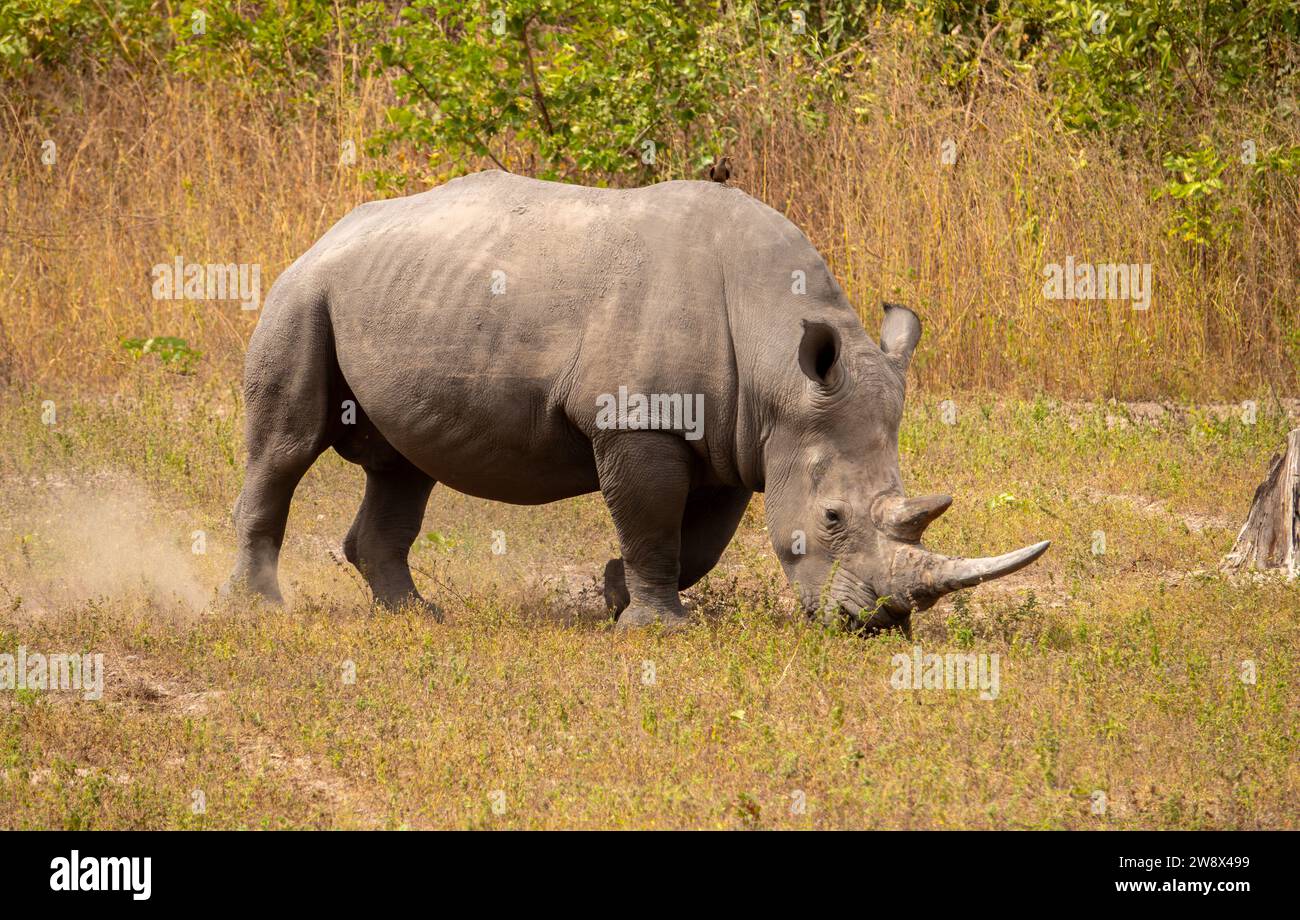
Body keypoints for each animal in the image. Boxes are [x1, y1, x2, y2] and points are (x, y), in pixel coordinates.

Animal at [224, 170, 1048, 633]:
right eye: (834, 519)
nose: (879, 623)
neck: (780, 363)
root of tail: (329, 231)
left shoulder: (737, 439)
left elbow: (698, 541)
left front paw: (617, 593)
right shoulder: (641, 419)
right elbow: (653, 519)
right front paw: (656, 630)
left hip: (398, 295)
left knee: (403, 467)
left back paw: (417, 618)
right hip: (303, 293)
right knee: (286, 448)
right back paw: (257, 612)